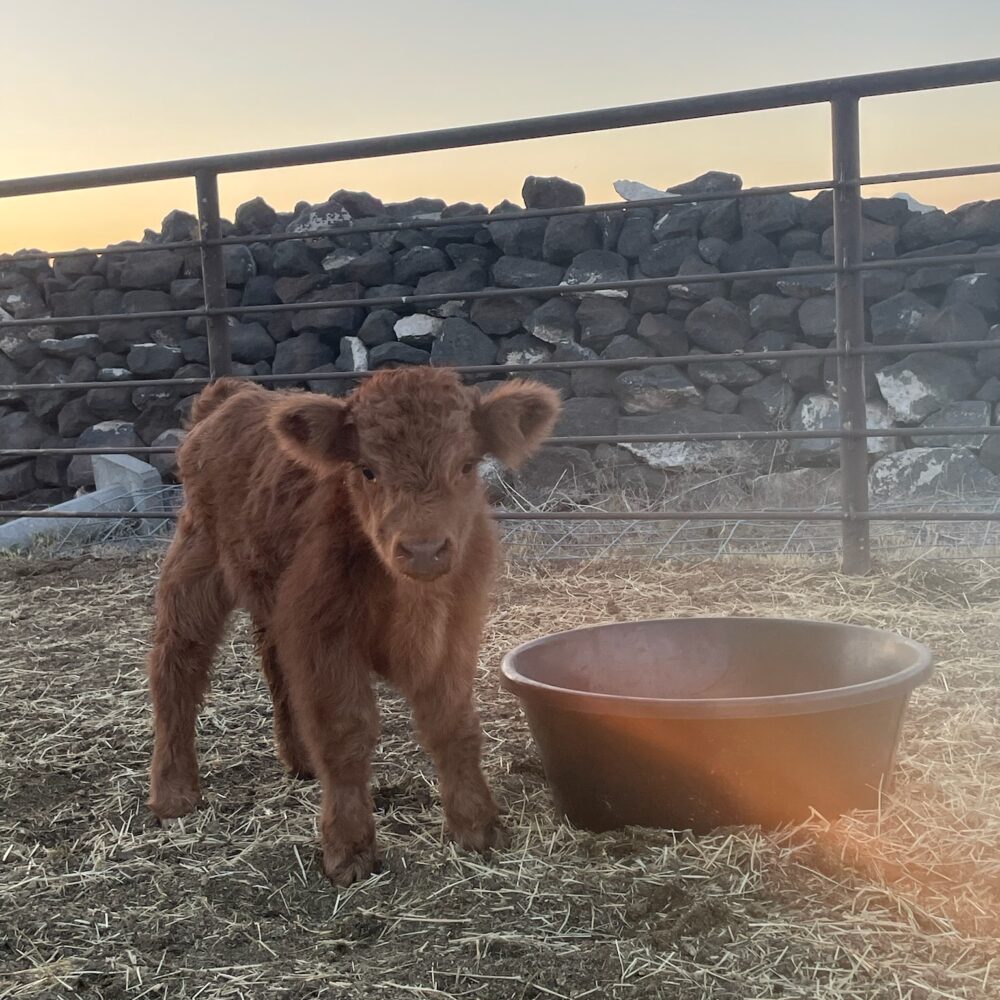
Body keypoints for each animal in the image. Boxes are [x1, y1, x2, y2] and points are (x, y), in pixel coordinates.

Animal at [146, 368, 561, 885]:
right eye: (367, 469)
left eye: (467, 465)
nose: (424, 549)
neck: (410, 601)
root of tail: (233, 394)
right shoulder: (326, 634)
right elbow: (346, 734)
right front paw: (349, 848)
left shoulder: (454, 631)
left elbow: (454, 724)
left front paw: (477, 824)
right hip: (195, 565)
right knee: (176, 667)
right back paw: (174, 791)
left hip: (272, 593)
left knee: (273, 661)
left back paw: (300, 760)